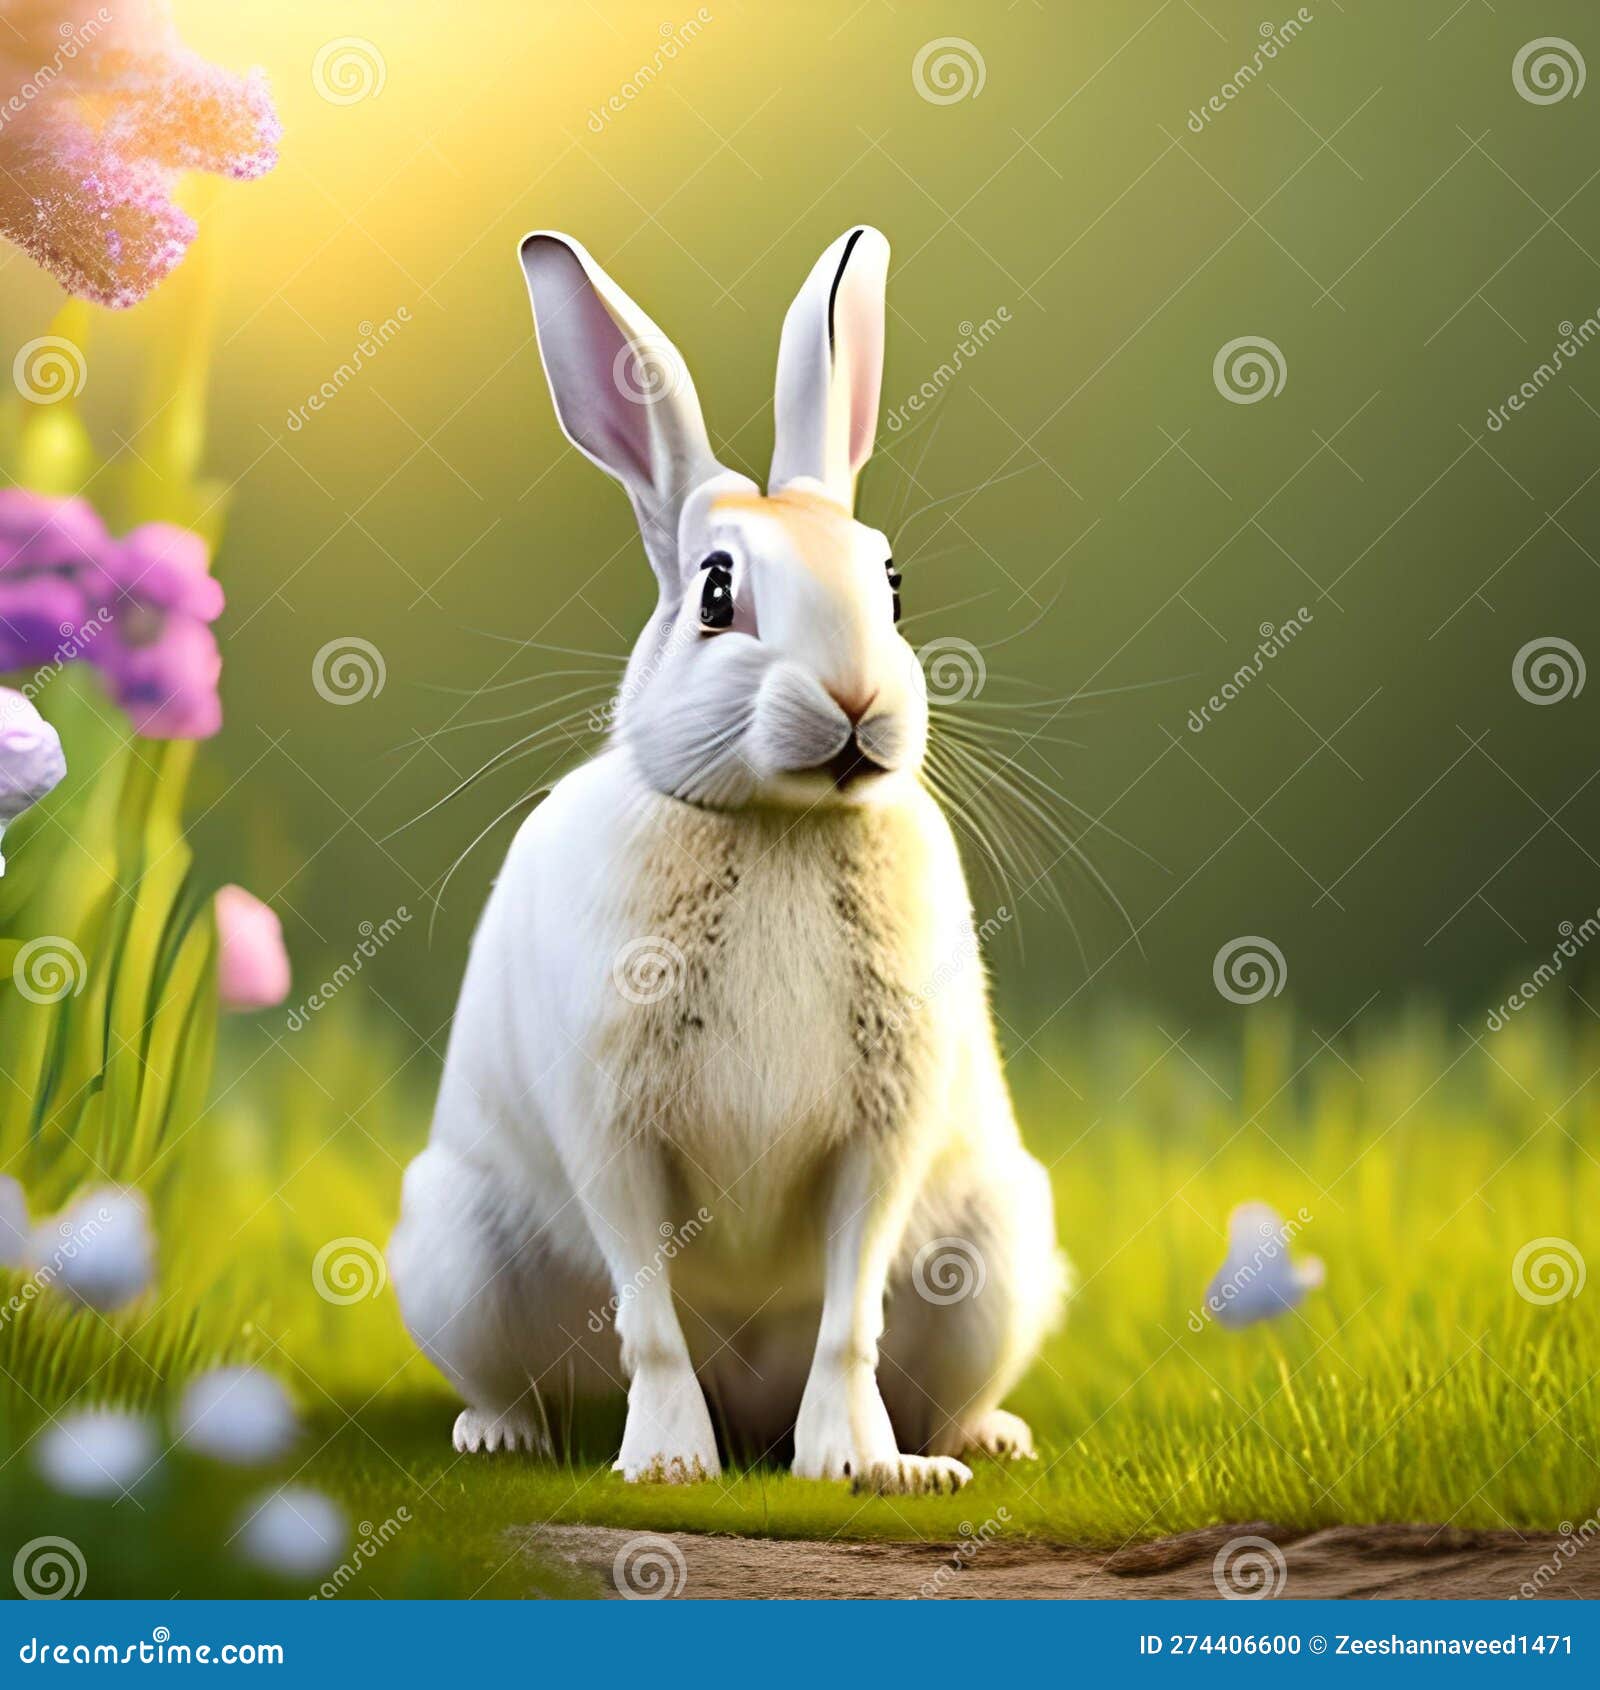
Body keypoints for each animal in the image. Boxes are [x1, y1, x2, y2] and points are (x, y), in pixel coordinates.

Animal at [388, 225, 1068, 1493]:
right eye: (715, 589)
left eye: (889, 583)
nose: (853, 698)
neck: (776, 820)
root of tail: (749, 1383)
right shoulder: (611, 1126)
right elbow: (648, 1311)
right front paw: (666, 1465)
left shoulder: (883, 1136)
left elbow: (851, 1315)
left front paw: (859, 1468)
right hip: (458, 1251)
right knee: (523, 1377)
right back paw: (504, 1432)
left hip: (992, 1255)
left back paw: (969, 1445)